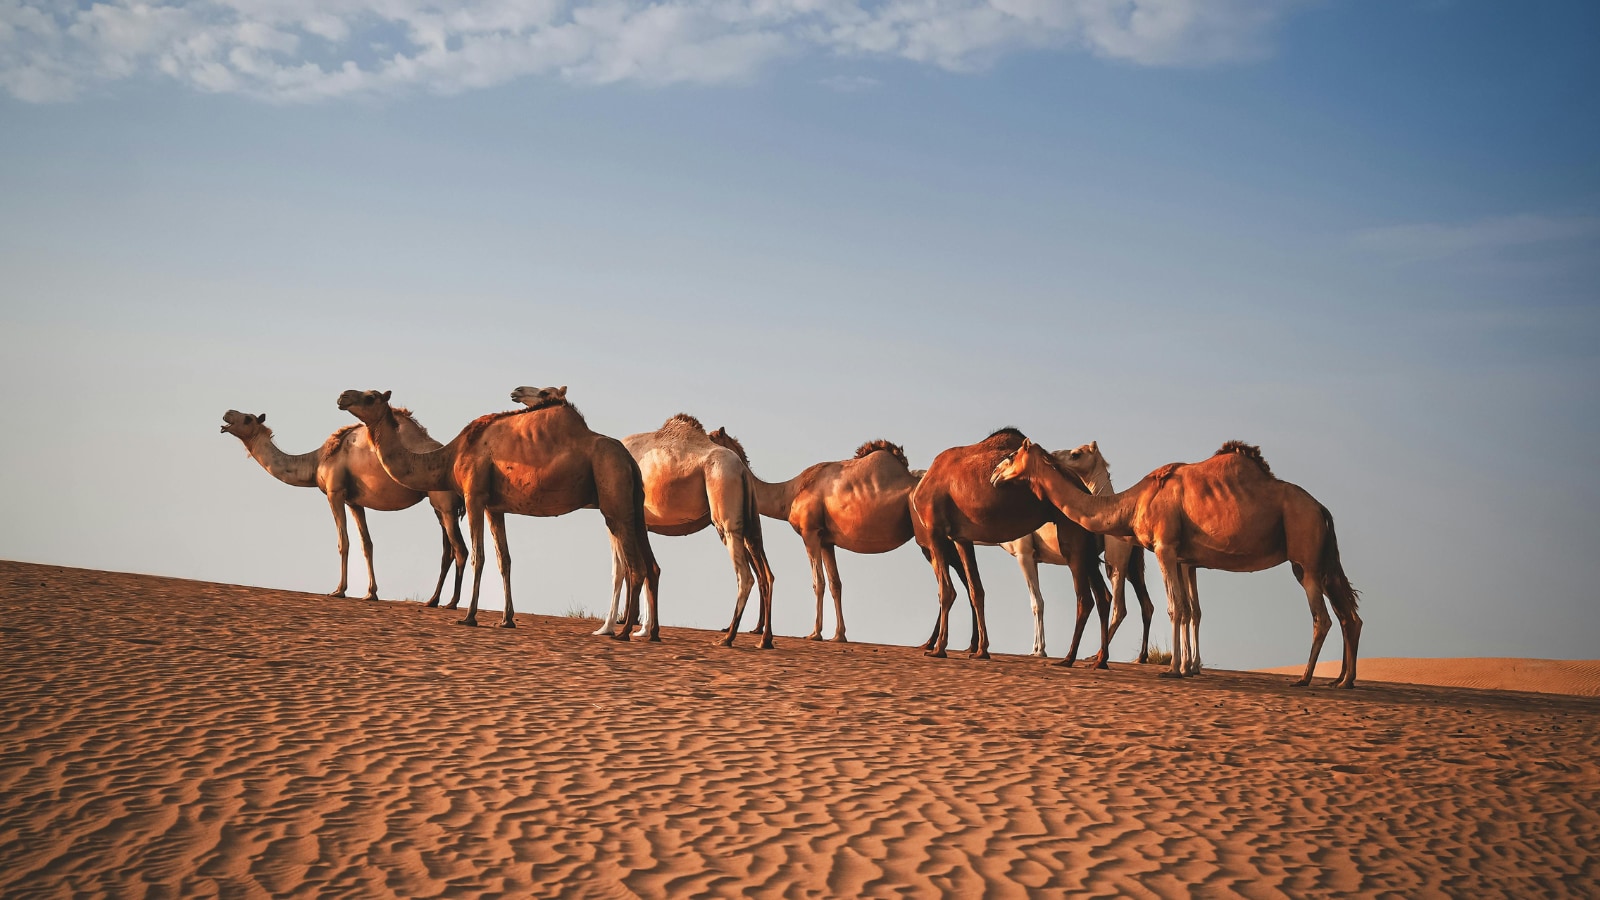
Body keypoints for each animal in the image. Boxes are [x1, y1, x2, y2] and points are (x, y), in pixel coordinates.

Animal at [220, 409, 467, 606]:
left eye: (248, 418)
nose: (227, 414)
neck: (316, 461)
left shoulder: (335, 492)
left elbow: (343, 542)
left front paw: (339, 590)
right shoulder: (354, 501)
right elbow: (366, 544)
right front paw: (371, 593)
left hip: (444, 504)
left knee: (459, 549)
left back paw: (452, 603)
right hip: (439, 506)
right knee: (447, 551)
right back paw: (433, 600)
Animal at [336, 387, 660, 637]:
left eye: (370, 397)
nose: (342, 396)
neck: (450, 456)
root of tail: (628, 459)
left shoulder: (474, 496)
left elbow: (478, 556)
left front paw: (468, 616)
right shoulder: (495, 507)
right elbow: (504, 560)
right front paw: (506, 620)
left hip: (613, 495)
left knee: (635, 566)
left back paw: (623, 632)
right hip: (632, 502)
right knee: (651, 564)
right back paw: (651, 633)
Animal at [513, 392, 774, 650]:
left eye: (545, 393)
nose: (516, 392)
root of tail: (742, 470)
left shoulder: (619, 519)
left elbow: (620, 570)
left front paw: (608, 627)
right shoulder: (642, 524)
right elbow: (649, 569)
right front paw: (645, 629)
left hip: (725, 512)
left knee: (746, 576)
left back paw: (728, 637)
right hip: (749, 523)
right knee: (765, 574)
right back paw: (764, 639)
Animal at [911, 428, 1110, 664]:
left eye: (1076, 454)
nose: (995, 474)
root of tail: (1085, 492)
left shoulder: (936, 530)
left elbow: (946, 591)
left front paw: (939, 648)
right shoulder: (962, 538)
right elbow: (976, 591)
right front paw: (981, 650)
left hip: (1072, 537)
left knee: (1085, 598)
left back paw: (1069, 658)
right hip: (1087, 548)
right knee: (1103, 597)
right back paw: (1100, 660)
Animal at [991, 439, 1362, 687]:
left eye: (1011, 456)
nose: (994, 473)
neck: (1133, 501)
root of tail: (1322, 509)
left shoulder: (1165, 548)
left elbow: (1176, 609)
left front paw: (1172, 669)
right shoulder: (1183, 556)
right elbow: (1187, 609)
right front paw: (1184, 668)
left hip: (1306, 553)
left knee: (1322, 618)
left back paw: (1305, 678)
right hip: (1319, 561)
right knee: (1349, 615)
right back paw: (1343, 680)